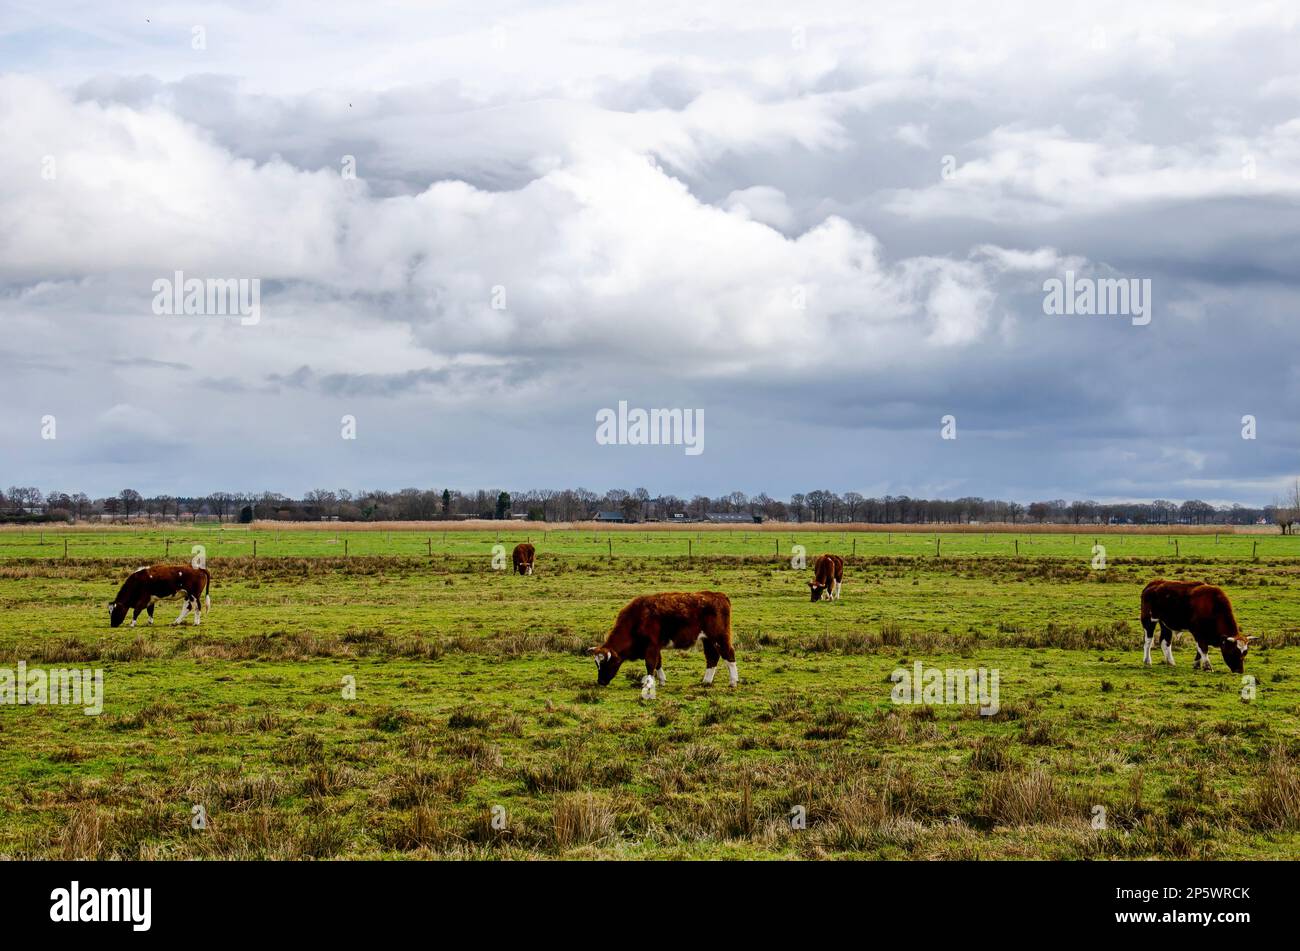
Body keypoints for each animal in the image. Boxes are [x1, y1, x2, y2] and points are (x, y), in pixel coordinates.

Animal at [588, 591, 736, 699]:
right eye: (597, 664)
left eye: (607, 663)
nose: (600, 681)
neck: (638, 617)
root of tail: (719, 595)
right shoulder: (655, 648)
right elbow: (658, 663)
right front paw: (662, 681)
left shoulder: (651, 647)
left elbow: (650, 665)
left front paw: (648, 685)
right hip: (708, 640)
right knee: (712, 657)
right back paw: (706, 682)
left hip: (719, 638)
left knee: (729, 654)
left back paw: (733, 681)